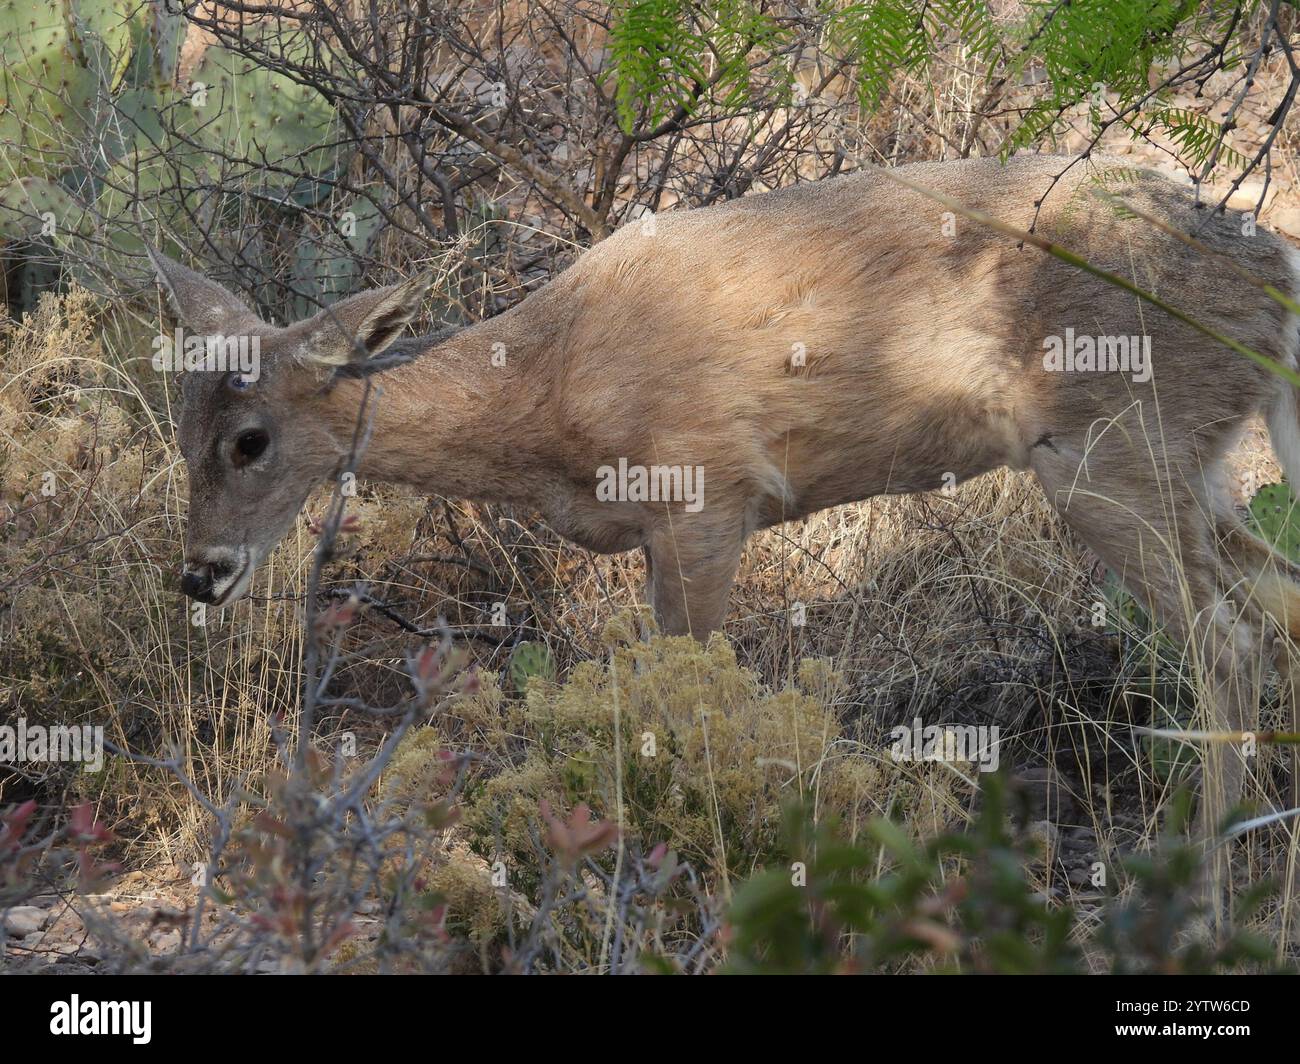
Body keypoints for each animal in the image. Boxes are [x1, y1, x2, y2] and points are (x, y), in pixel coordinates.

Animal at [151, 152, 1300, 876]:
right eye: (178, 421)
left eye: (248, 438)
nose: (200, 571)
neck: (546, 393)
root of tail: (1270, 273)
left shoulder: (706, 495)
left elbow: (698, 697)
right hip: (1190, 460)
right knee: (1271, 599)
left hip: (1114, 444)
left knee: (1227, 636)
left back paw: (1197, 879)